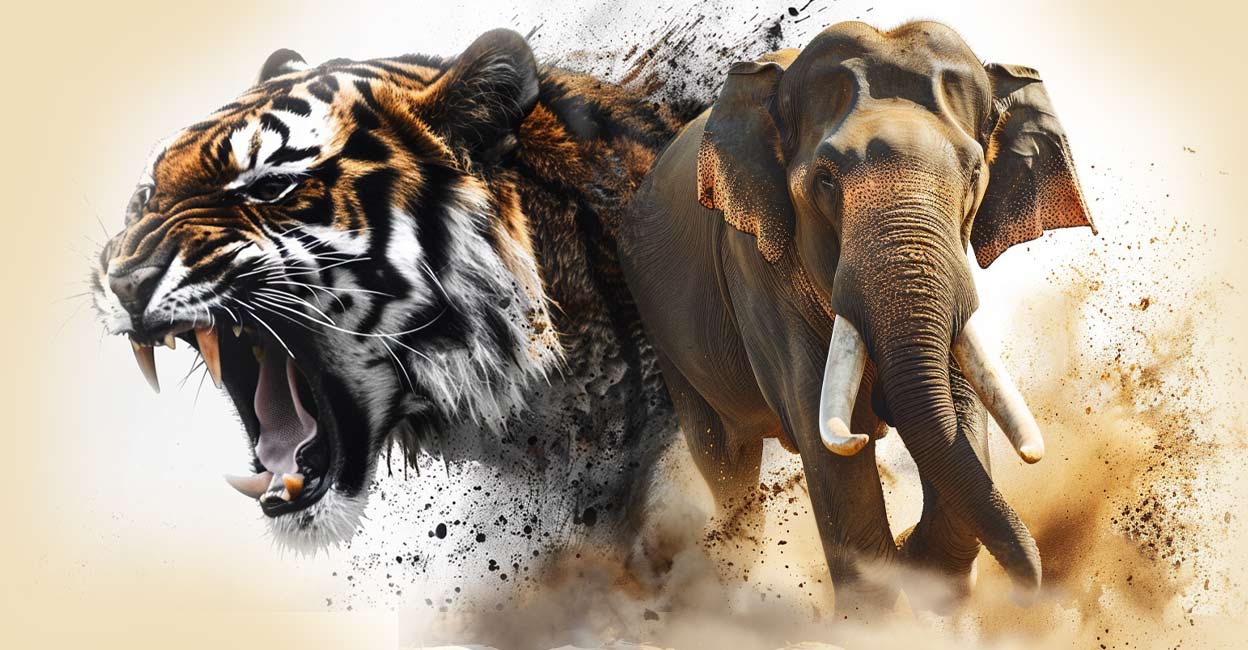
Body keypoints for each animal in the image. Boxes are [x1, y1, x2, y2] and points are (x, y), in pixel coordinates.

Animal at [619, 21, 1095, 616]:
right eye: (824, 180)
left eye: (973, 173)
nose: (1027, 593)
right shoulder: (754, 263)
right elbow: (820, 432)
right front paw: (875, 612)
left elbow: (962, 401)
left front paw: (921, 565)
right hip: (664, 332)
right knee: (724, 457)